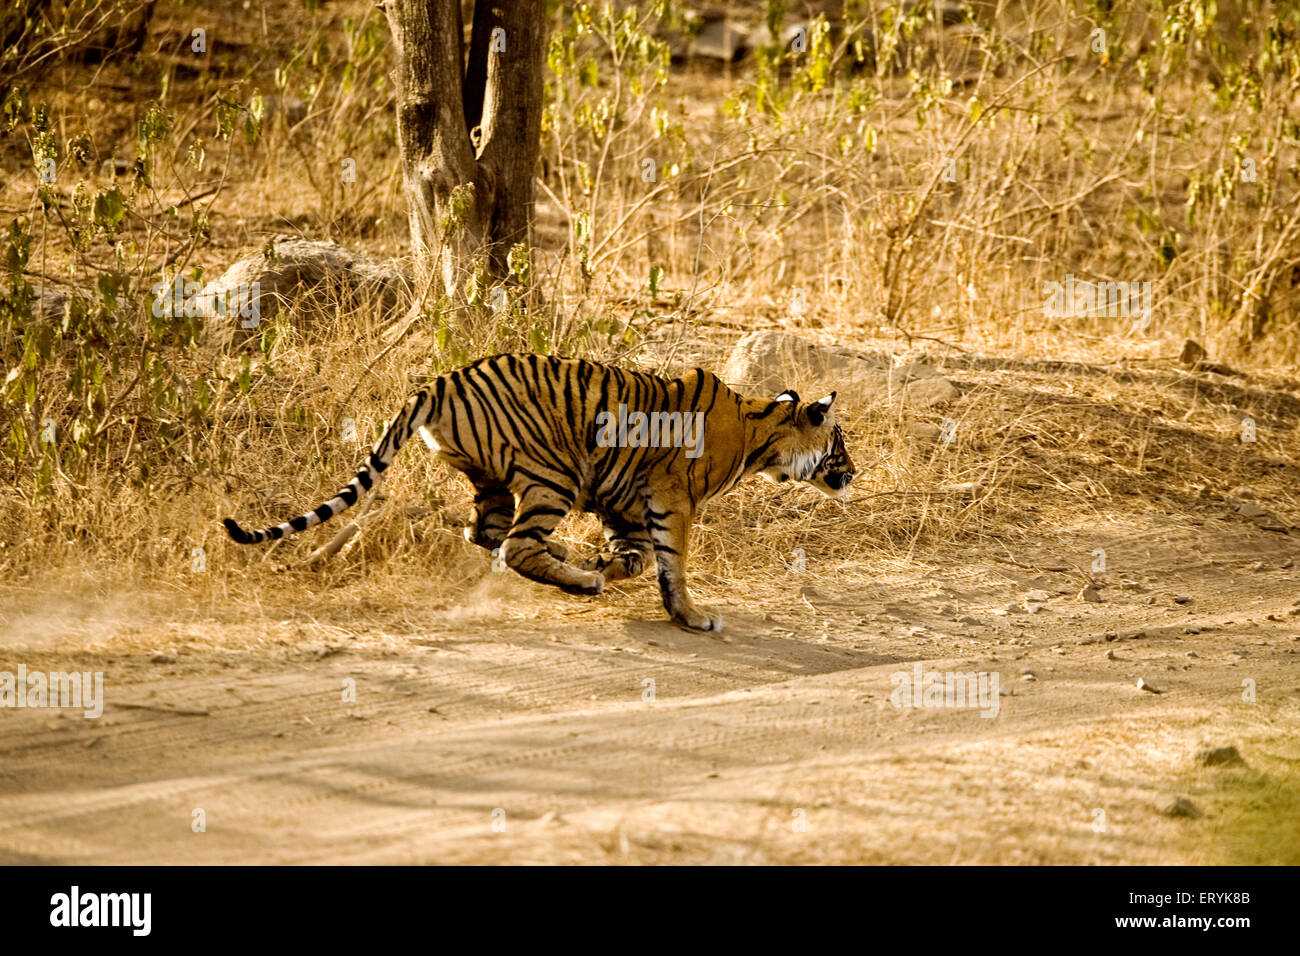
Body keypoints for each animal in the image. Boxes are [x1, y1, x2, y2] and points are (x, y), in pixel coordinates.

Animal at [223, 353, 855, 631]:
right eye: (839, 443)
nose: (854, 472)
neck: (758, 434)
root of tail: (440, 381)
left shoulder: (627, 504)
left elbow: (638, 555)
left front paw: (608, 565)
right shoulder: (672, 501)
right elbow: (672, 562)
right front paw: (690, 616)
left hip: (493, 479)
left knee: (485, 533)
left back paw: (572, 565)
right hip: (555, 473)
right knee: (514, 544)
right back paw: (577, 577)